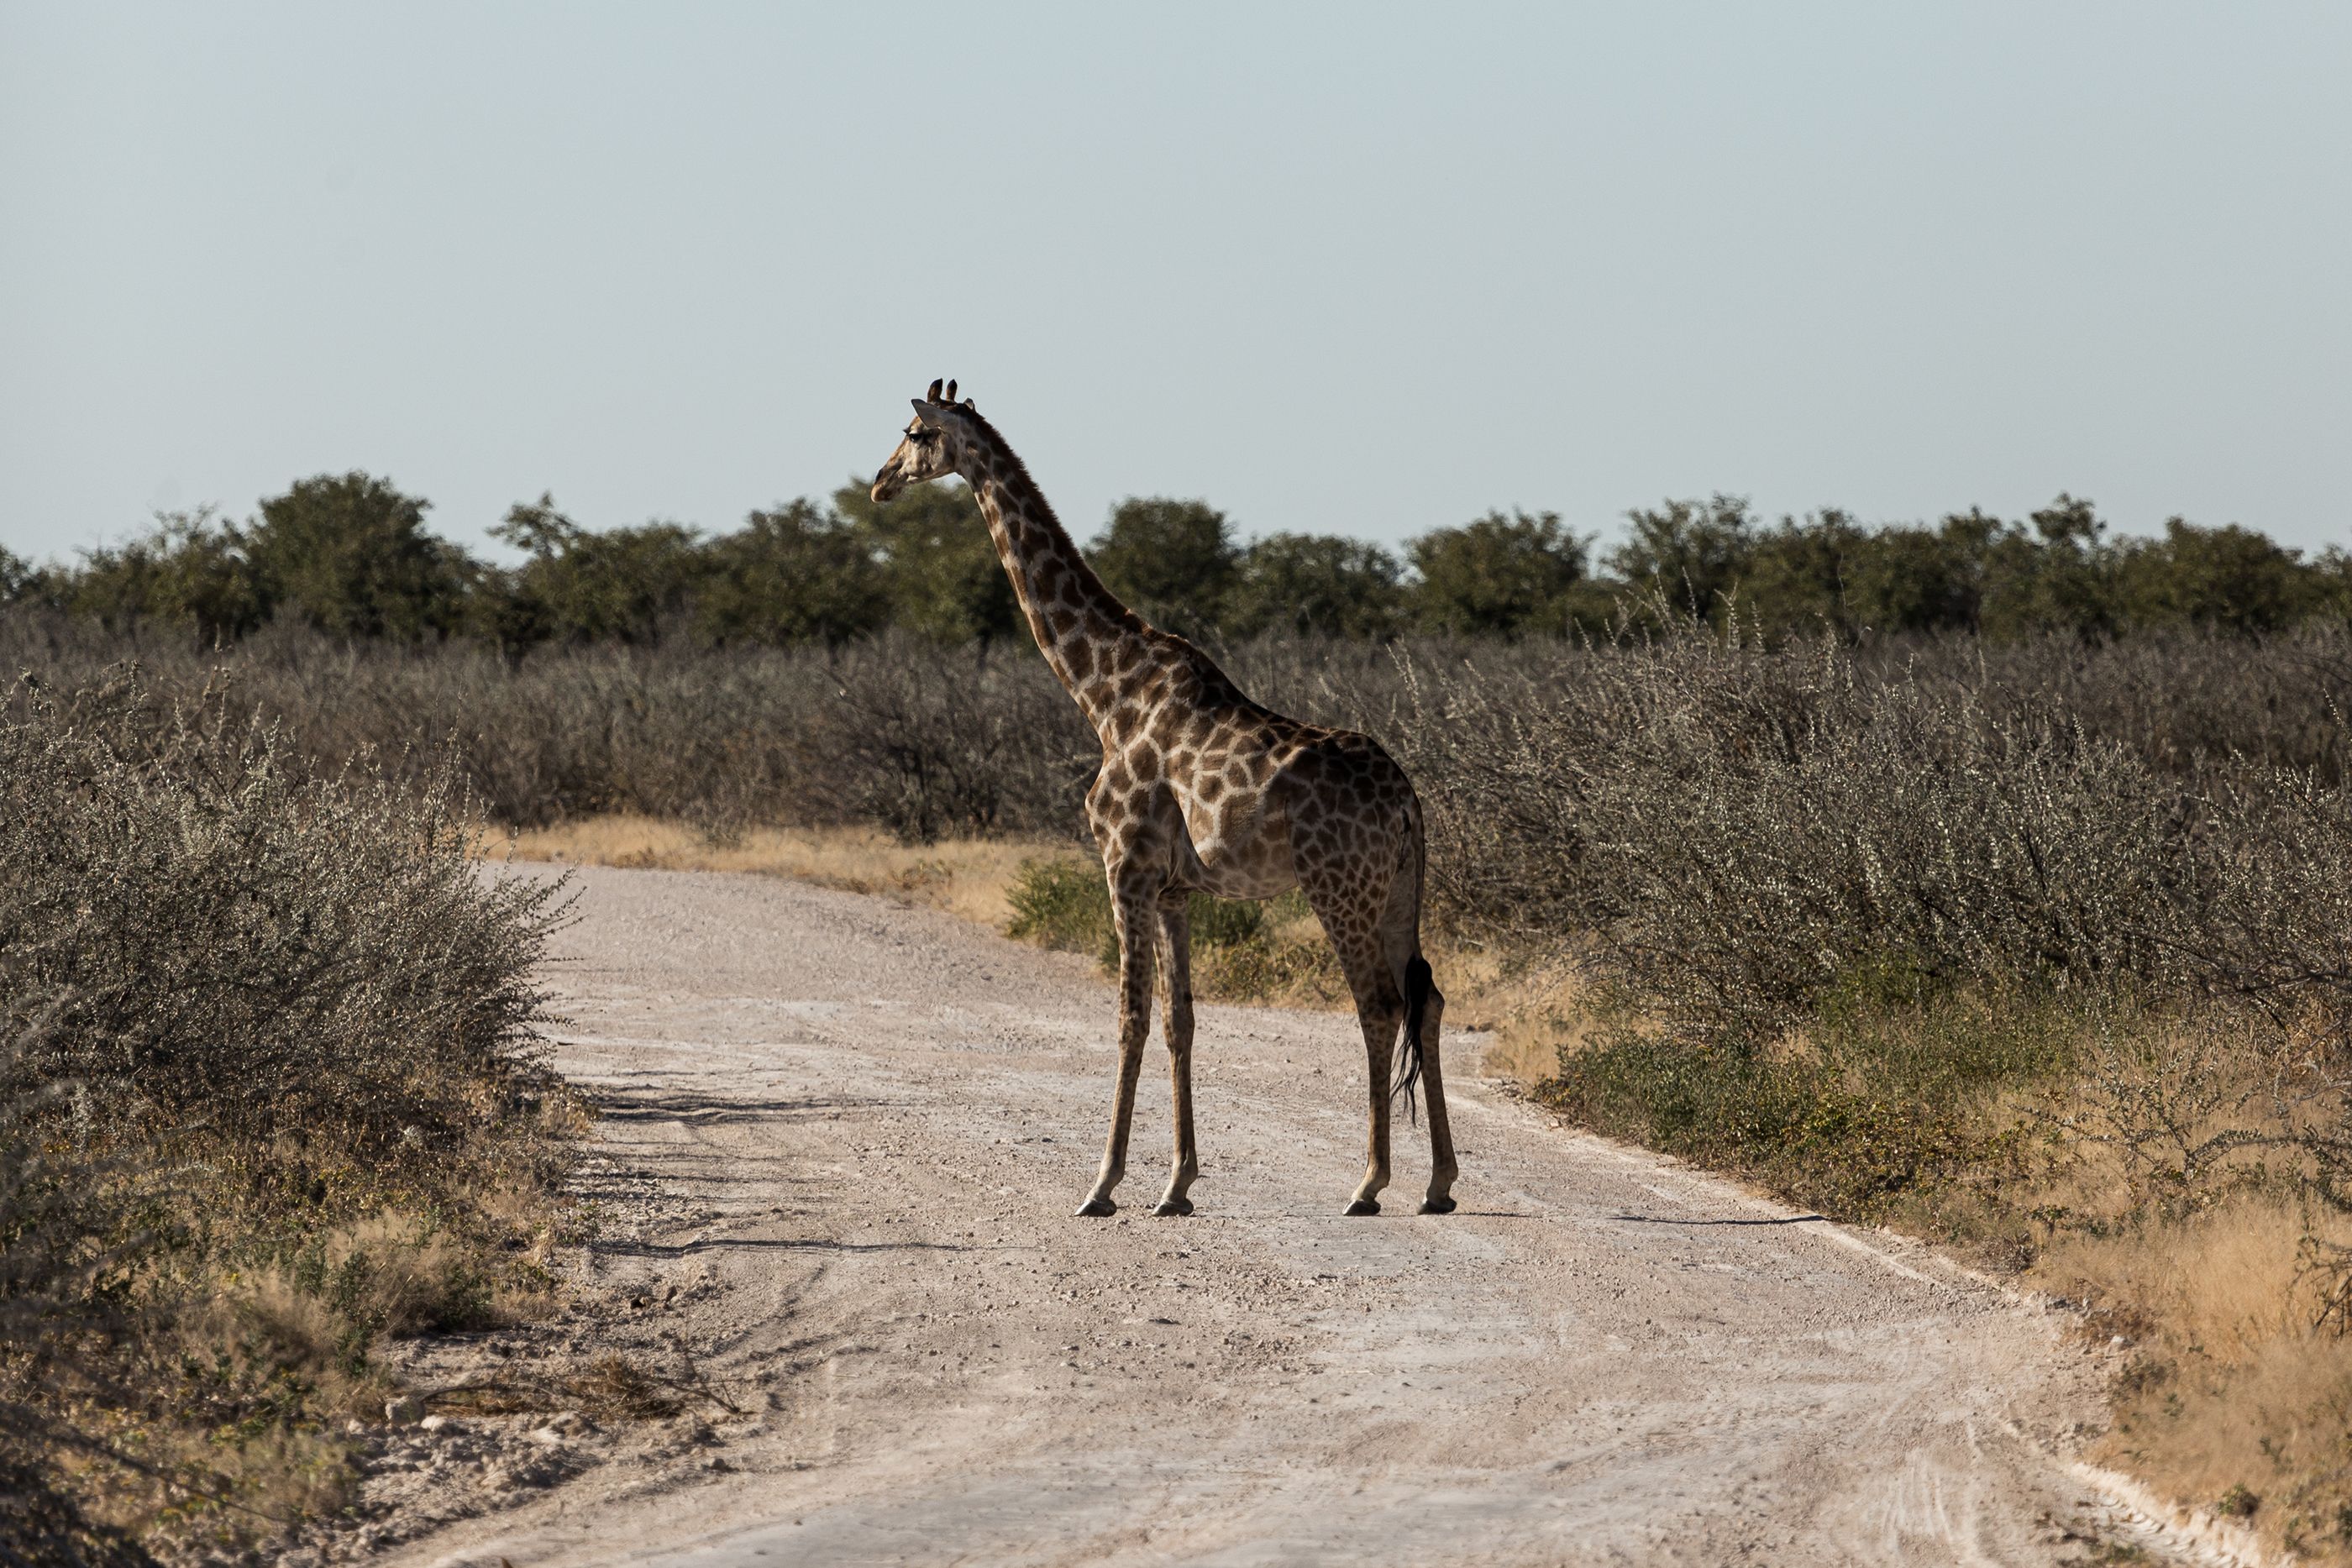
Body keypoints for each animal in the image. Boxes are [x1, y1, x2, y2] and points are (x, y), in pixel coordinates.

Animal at [870, 380, 1458, 1219]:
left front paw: (1102, 1184)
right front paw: (1176, 1183)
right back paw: (1439, 1183)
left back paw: (1368, 1183)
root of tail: (1408, 802)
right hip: (1401, 888)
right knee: (1426, 998)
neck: (1102, 693)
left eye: (915, 433)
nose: (879, 483)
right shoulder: (1178, 889)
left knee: (1380, 1004)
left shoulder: (1126, 866)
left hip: (1339, 886)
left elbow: (1130, 1017)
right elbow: (1182, 1020)